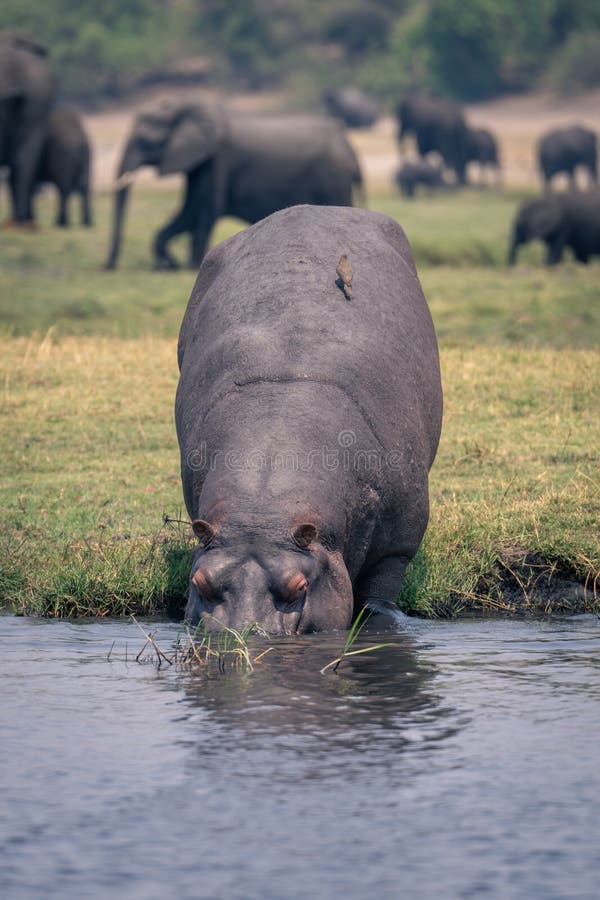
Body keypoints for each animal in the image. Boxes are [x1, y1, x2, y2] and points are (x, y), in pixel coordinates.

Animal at [175, 205, 442, 634]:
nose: (241, 637)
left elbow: (384, 582)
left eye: (298, 587)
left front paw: (380, 617)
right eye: (200, 581)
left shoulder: (401, 536)